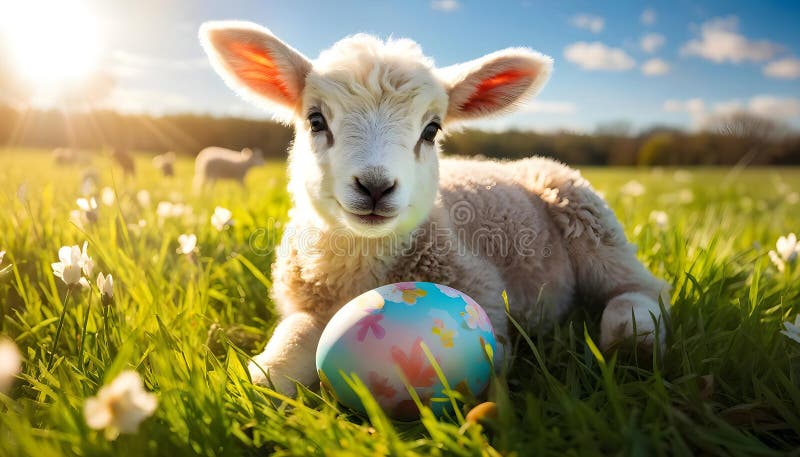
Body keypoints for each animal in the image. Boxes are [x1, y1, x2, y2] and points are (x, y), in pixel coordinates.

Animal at [200, 21, 670, 396]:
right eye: (316, 120)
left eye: (431, 129)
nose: (375, 186)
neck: (361, 268)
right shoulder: (300, 302)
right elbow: (284, 353)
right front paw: (261, 380)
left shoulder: (487, 302)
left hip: (590, 224)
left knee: (643, 288)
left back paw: (632, 339)